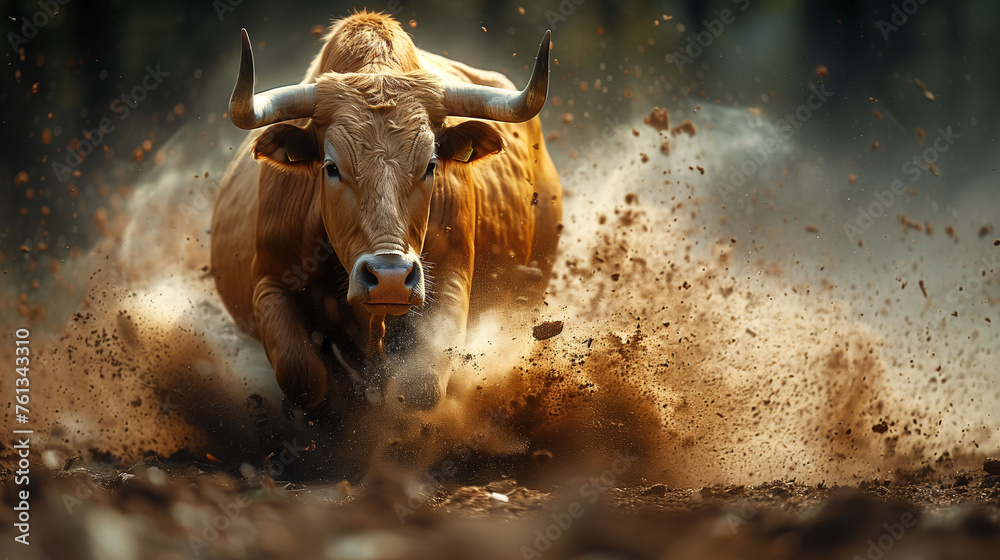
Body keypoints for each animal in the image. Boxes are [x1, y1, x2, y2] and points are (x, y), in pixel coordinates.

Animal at [210, 12, 561, 415]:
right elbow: (304, 378)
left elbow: (419, 387)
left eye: (430, 165)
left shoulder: (451, 286)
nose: (390, 278)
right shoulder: (270, 285)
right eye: (331, 167)